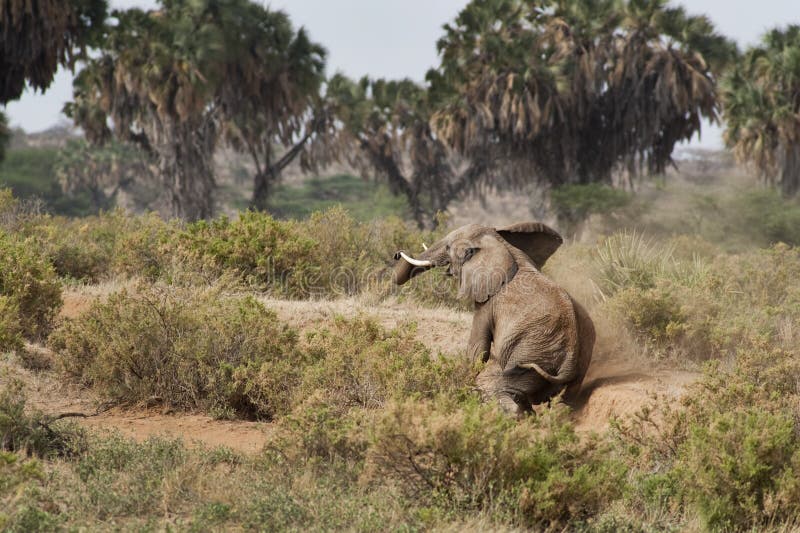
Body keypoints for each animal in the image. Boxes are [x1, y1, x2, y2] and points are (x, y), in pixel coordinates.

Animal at [392, 222, 594, 416]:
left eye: (448, 247)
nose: (396, 254)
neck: (501, 244)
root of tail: (569, 362)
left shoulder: (488, 303)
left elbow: (478, 350)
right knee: (563, 402)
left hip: (533, 352)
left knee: (505, 389)